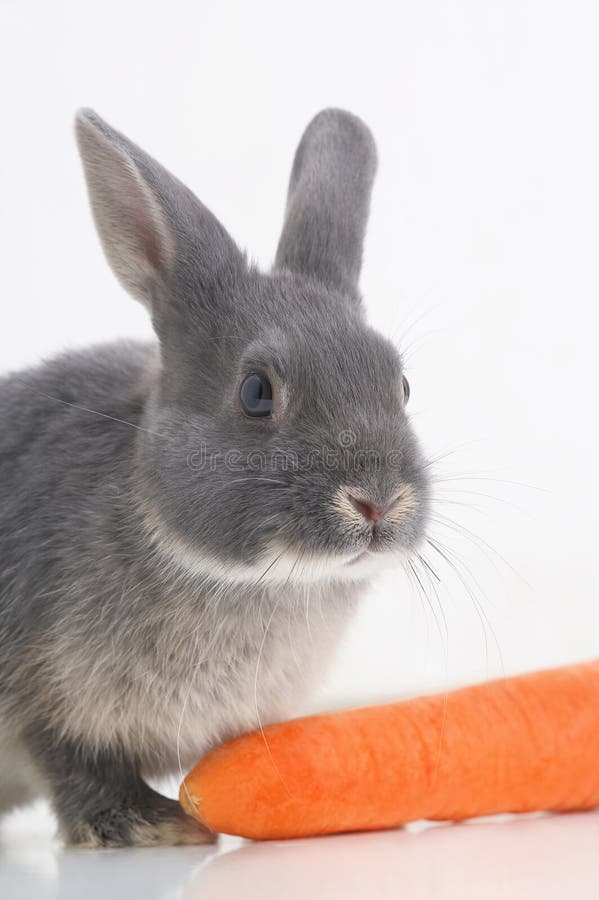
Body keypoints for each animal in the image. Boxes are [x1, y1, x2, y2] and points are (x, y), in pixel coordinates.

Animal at [0, 108, 429, 847]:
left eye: (400, 385)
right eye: (256, 392)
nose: (377, 503)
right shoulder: (41, 692)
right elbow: (72, 765)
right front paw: (154, 827)